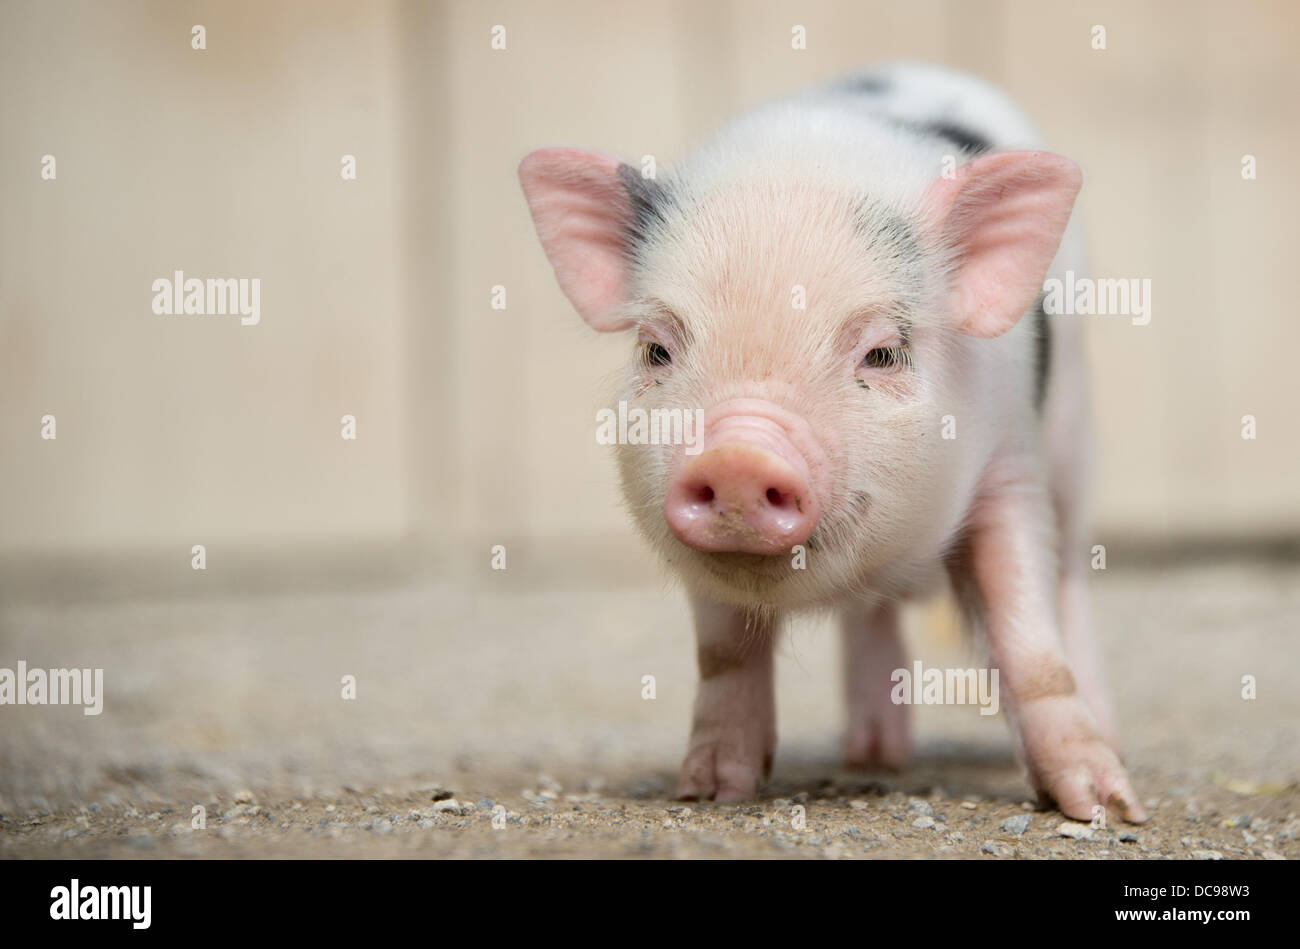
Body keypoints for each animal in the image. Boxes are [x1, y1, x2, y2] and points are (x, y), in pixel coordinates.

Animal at [518, 62, 1144, 823]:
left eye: (882, 353)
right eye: (656, 349)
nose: (738, 456)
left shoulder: (1009, 463)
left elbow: (1030, 640)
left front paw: (1107, 808)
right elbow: (724, 657)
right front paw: (709, 788)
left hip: (1075, 436)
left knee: (1070, 572)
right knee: (870, 613)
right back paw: (871, 757)